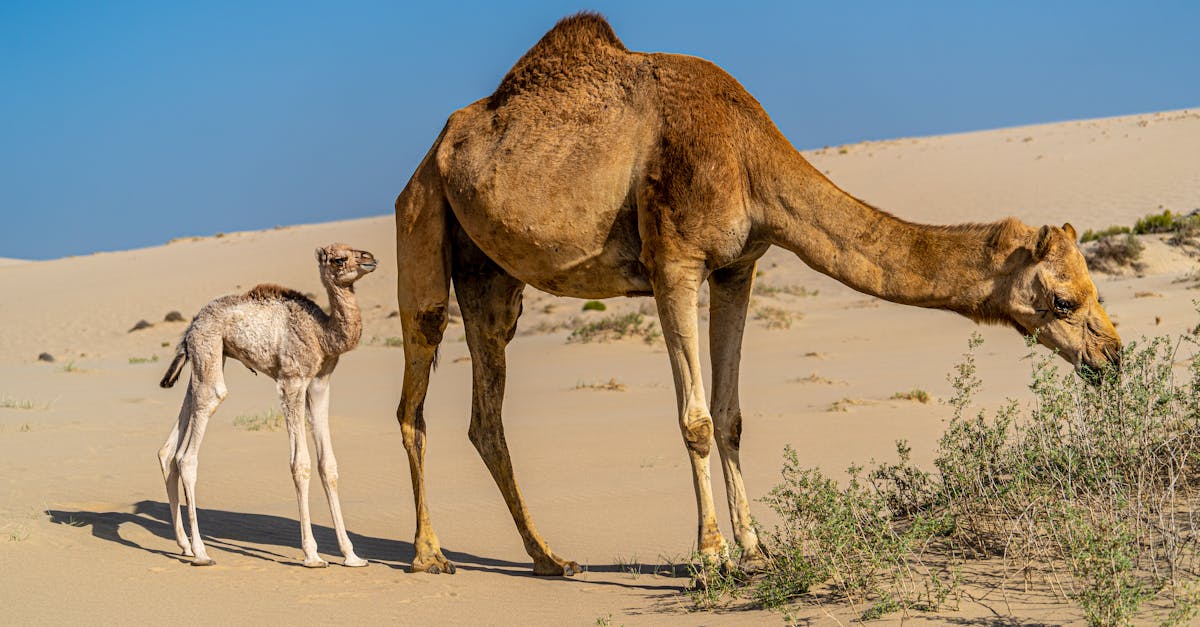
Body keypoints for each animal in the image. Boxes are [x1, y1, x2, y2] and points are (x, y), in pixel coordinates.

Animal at [158, 241, 374, 564]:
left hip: (206, 359)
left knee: (170, 447)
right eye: (339, 259)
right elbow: (301, 464)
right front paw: (312, 555)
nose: (370, 259)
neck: (322, 333)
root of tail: (191, 327)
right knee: (188, 453)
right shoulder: (292, 380)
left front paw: (352, 555)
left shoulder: (319, 384)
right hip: (209, 348)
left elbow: (328, 465)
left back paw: (184, 545)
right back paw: (201, 552)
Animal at [388, 10, 1118, 576]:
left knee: (487, 412)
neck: (747, 155)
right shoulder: (675, 260)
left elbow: (731, 413)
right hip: (422, 216)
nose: (1113, 354)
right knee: (418, 371)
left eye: (1094, 292)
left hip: (491, 276)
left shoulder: (738, 267)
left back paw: (549, 559)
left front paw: (756, 547)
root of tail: (435, 148)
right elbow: (696, 418)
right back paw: (429, 555)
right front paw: (711, 554)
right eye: (1064, 301)